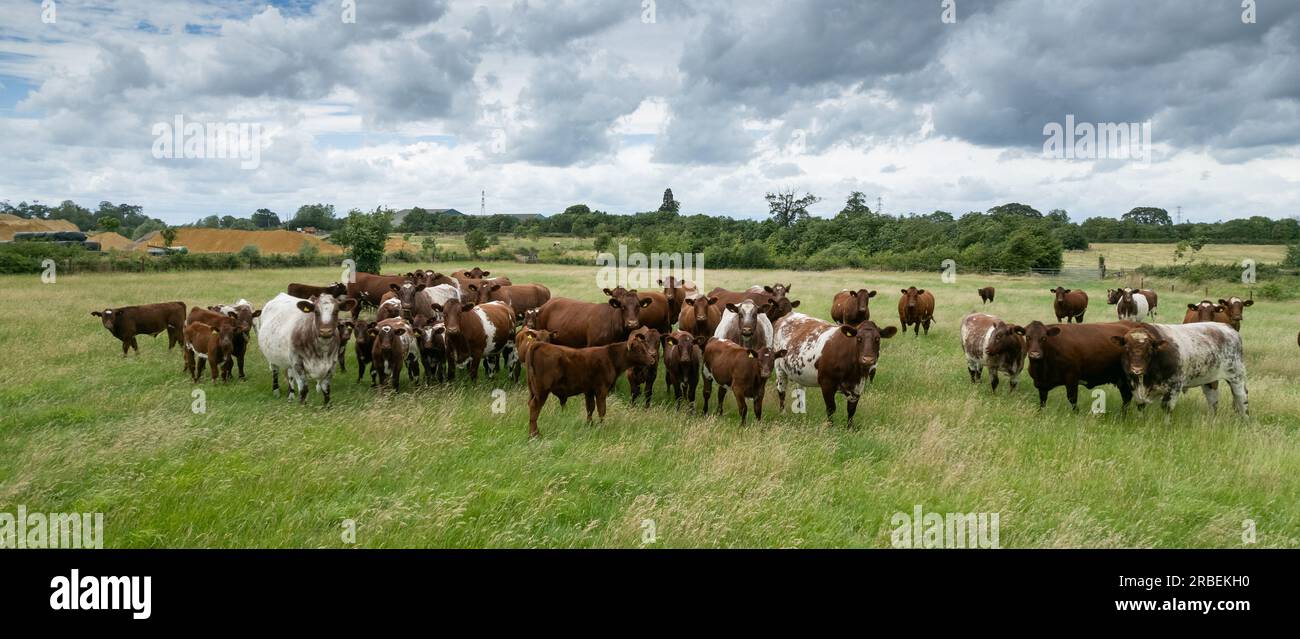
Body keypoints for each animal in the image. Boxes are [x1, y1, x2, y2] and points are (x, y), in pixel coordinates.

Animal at [525, 330, 660, 438]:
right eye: (640, 349)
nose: (652, 359)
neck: (610, 357)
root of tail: (539, 344)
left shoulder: (589, 390)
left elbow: (590, 408)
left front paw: (589, 425)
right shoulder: (602, 389)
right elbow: (601, 409)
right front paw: (602, 426)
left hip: (532, 390)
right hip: (542, 391)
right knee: (535, 407)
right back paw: (534, 434)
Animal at [1111, 323, 1248, 416]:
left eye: (1149, 349)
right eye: (1126, 347)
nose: (1136, 369)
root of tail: (1229, 328)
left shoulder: (1174, 387)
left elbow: (1166, 408)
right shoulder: (1135, 387)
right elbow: (1140, 406)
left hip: (1237, 375)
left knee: (1241, 397)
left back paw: (1245, 420)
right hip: (1209, 379)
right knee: (1213, 400)